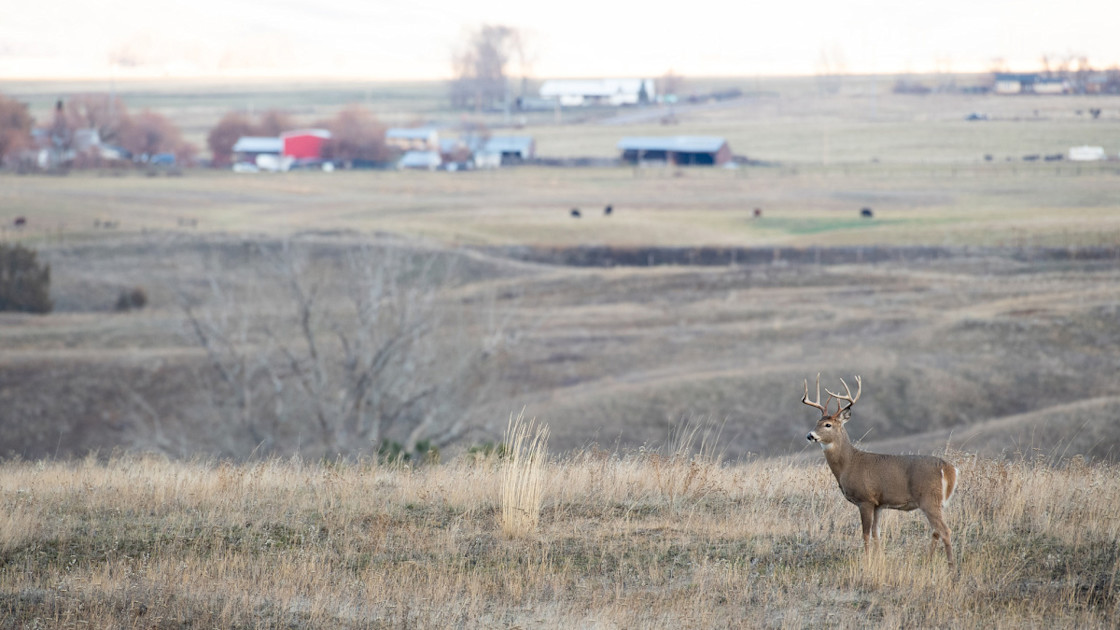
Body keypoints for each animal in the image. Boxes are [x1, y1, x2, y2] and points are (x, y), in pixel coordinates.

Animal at [803, 374, 959, 566]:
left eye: (828, 425)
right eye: (817, 422)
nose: (810, 435)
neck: (849, 463)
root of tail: (949, 469)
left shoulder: (865, 499)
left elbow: (865, 534)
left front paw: (867, 561)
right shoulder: (879, 504)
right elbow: (877, 533)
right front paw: (878, 559)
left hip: (929, 499)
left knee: (944, 530)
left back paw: (952, 567)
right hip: (938, 502)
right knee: (936, 531)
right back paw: (928, 561)